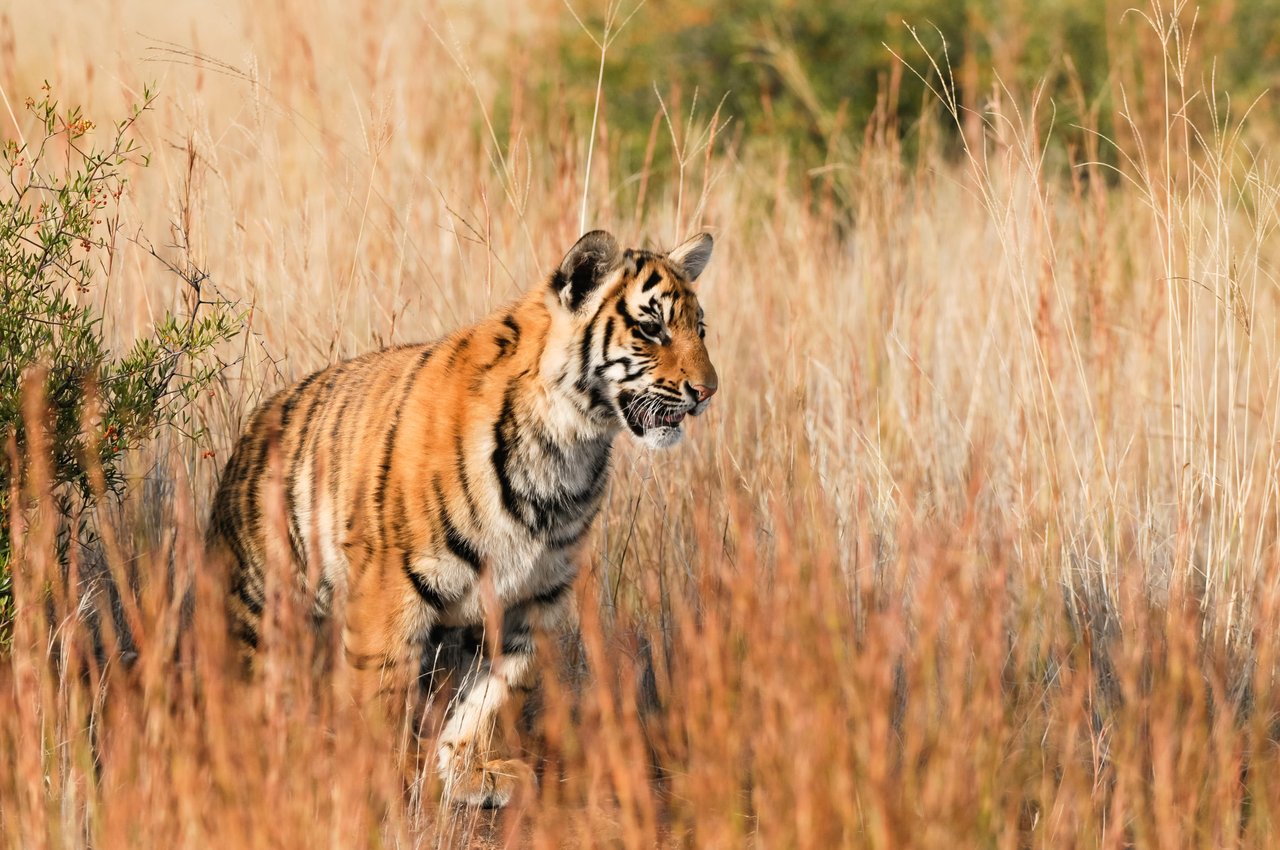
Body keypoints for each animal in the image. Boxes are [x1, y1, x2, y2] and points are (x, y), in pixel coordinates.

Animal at [206, 230, 718, 807]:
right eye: (651, 329)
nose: (708, 391)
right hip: (263, 605)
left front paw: (469, 773)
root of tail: (253, 427)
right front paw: (377, 782)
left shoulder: (532, 598)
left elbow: (493, 696)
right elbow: (379, 696)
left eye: (699, 329)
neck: (570, 447)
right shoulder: (388, 590)